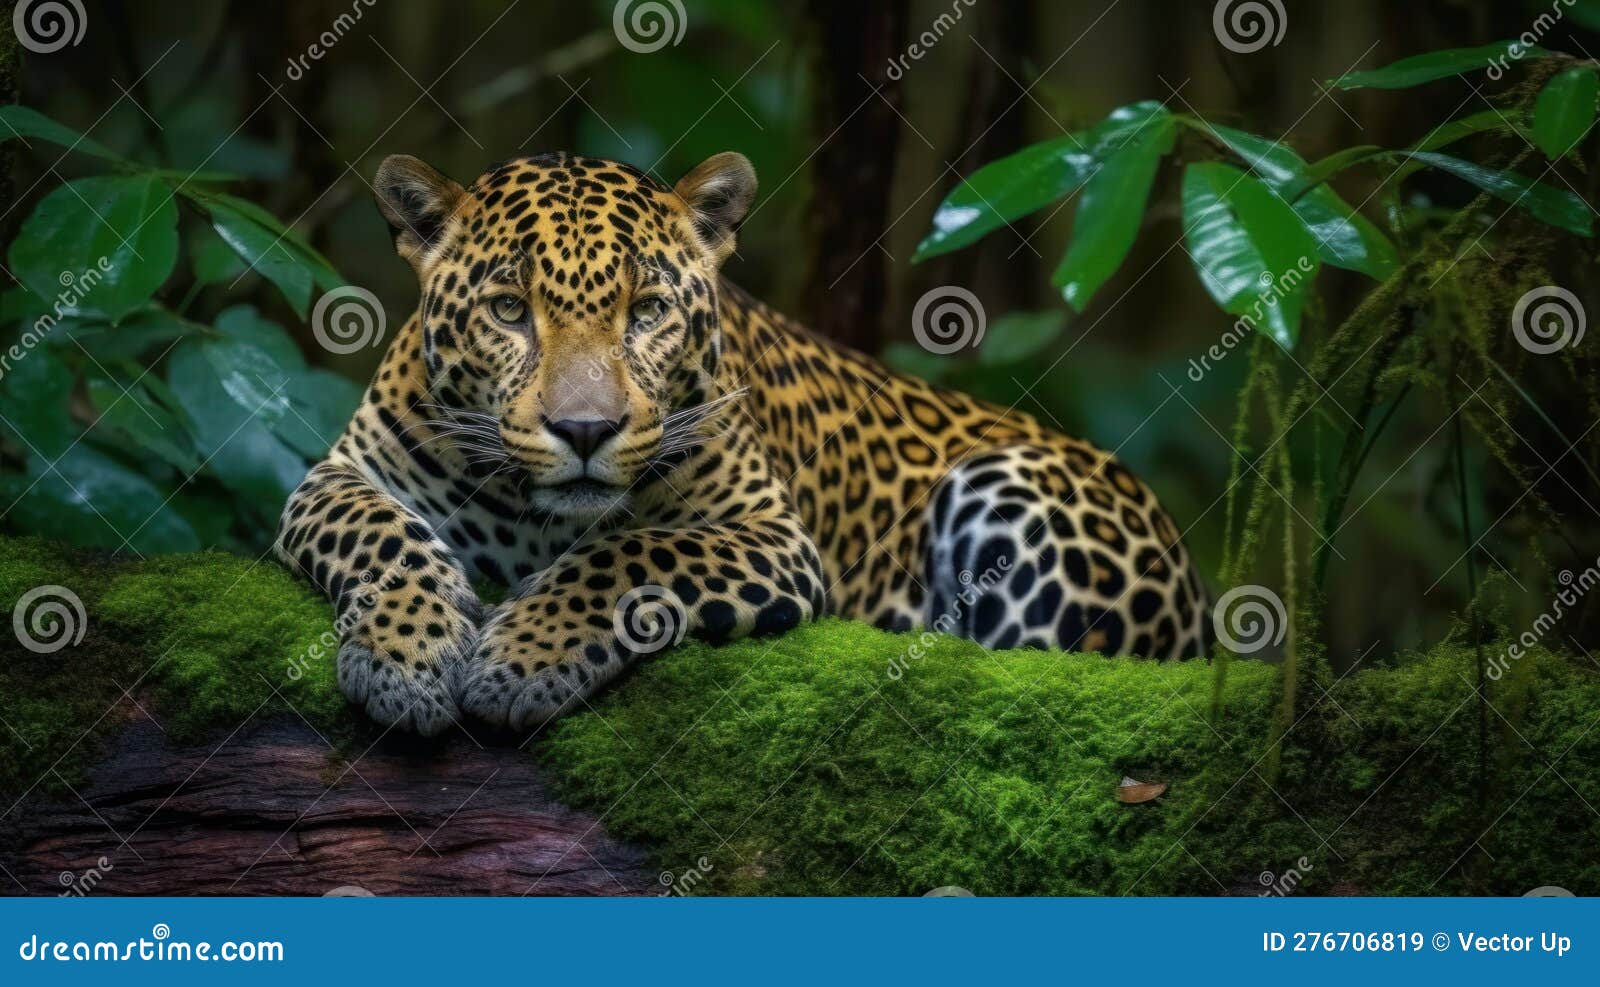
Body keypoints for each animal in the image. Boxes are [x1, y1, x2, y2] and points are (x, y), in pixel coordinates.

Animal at [273, 149, 1212, 736]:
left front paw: (524, 655)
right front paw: (403, 655)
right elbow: (382, 535)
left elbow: (631, 554)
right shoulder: (340, 473)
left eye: (646, 311)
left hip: (1010, 484)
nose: (585, 430)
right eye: (510, 310)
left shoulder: (771, 533)